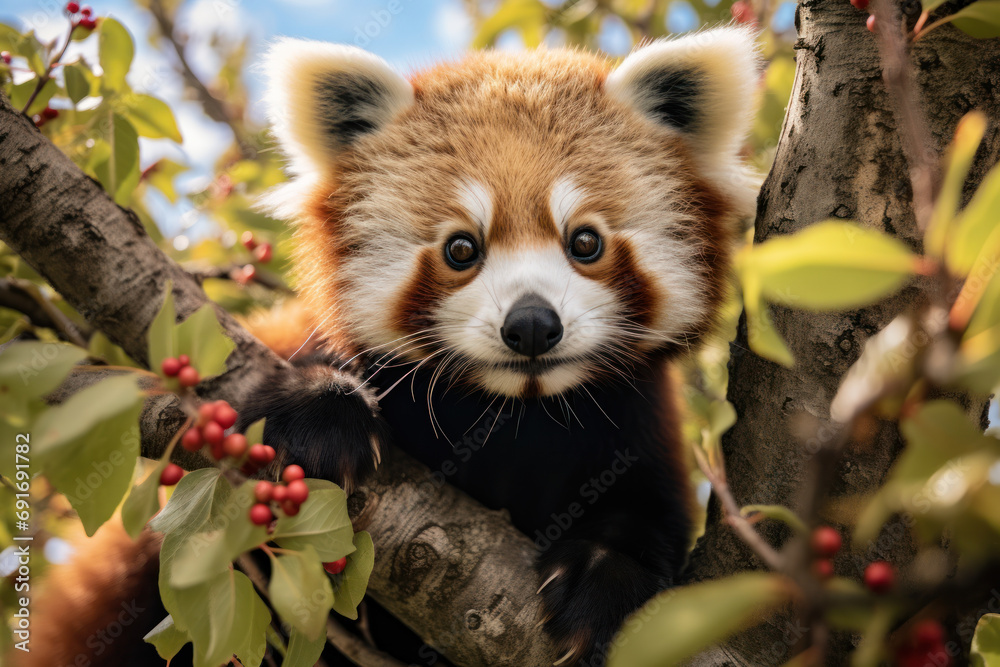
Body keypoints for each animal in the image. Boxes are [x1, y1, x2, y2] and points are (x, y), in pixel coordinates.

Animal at [15, 26, 760, 667]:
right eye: (461, 248)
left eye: (585, 242)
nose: (530, 326)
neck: (512, 414)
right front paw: (318, 414)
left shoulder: (634, 426)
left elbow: (648, 516)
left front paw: (605, 577)